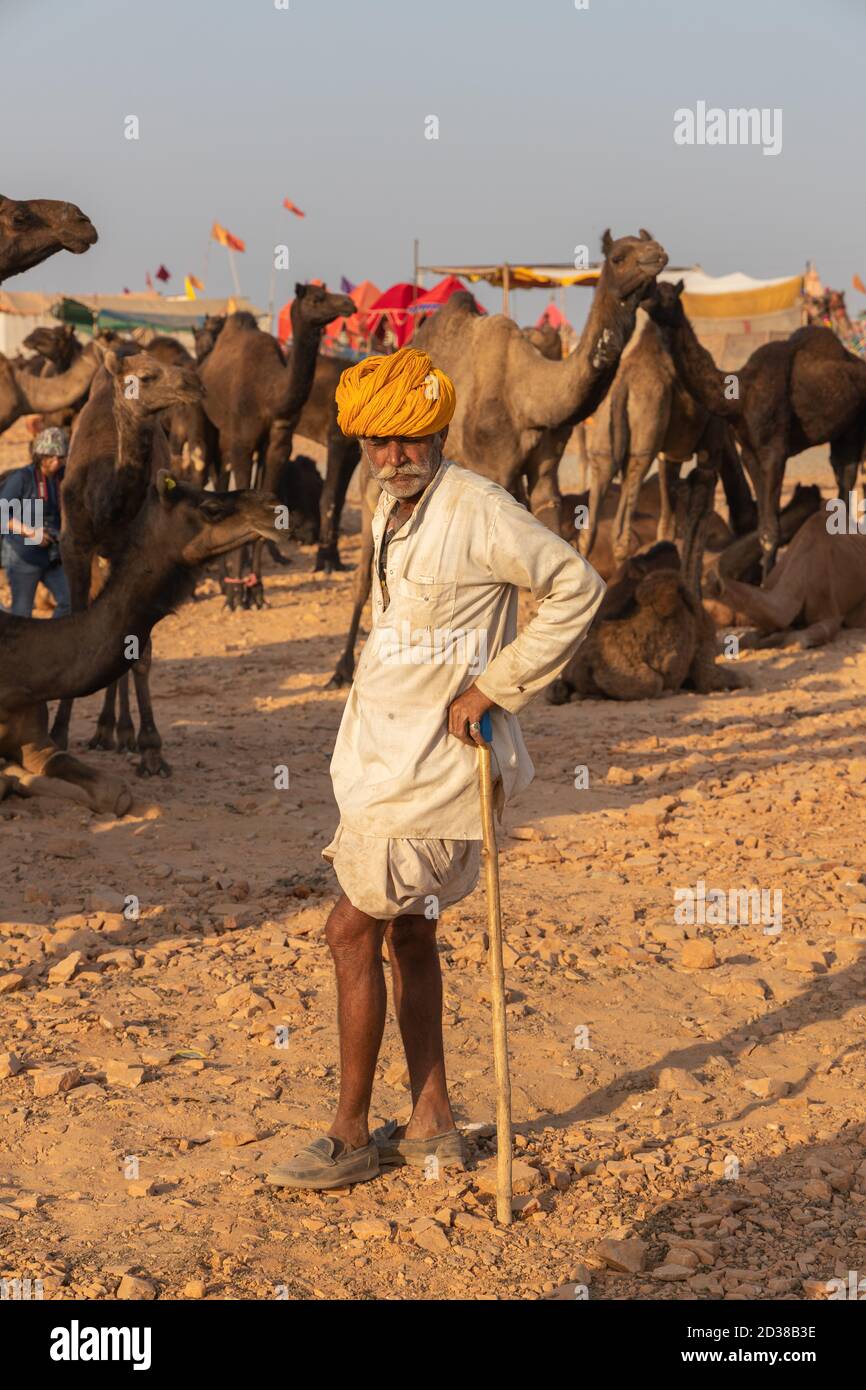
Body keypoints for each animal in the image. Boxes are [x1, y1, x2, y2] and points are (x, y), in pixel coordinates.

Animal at [48, 349, 204, 774]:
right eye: (147, 376)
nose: (195, 383)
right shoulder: (74, 546)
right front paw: (56, 737)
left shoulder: (140, 553)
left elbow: (141, 654)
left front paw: (151, 748)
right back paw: (106, 731)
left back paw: (122, 731)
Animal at [200, 283, 354, 605]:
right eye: (316, 298)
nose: (349, 303)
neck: (269, 392)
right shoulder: (242, 444)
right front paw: (237, 595)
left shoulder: (278, 446)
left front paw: (255, 590)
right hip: (216, 435)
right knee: (219, 478)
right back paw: (224, 583)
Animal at [581, 308, 756, 563]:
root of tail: (623, 384)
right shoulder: (712, 437)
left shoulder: (671, 452)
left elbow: (668, 496)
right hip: (646, 426)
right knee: (623, 527)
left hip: (605, 424)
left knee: (597, 494)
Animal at [645, 280, 866, 576]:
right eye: (651, 287)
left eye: (668, 295)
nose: (644, 300)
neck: (738, 397)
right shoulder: (750, 452)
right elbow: (763, 528)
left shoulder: (775, 451)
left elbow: (772, 530)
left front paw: (765, 581)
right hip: (844, 429)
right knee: (842, 471)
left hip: (857, 424)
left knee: (847, 475)